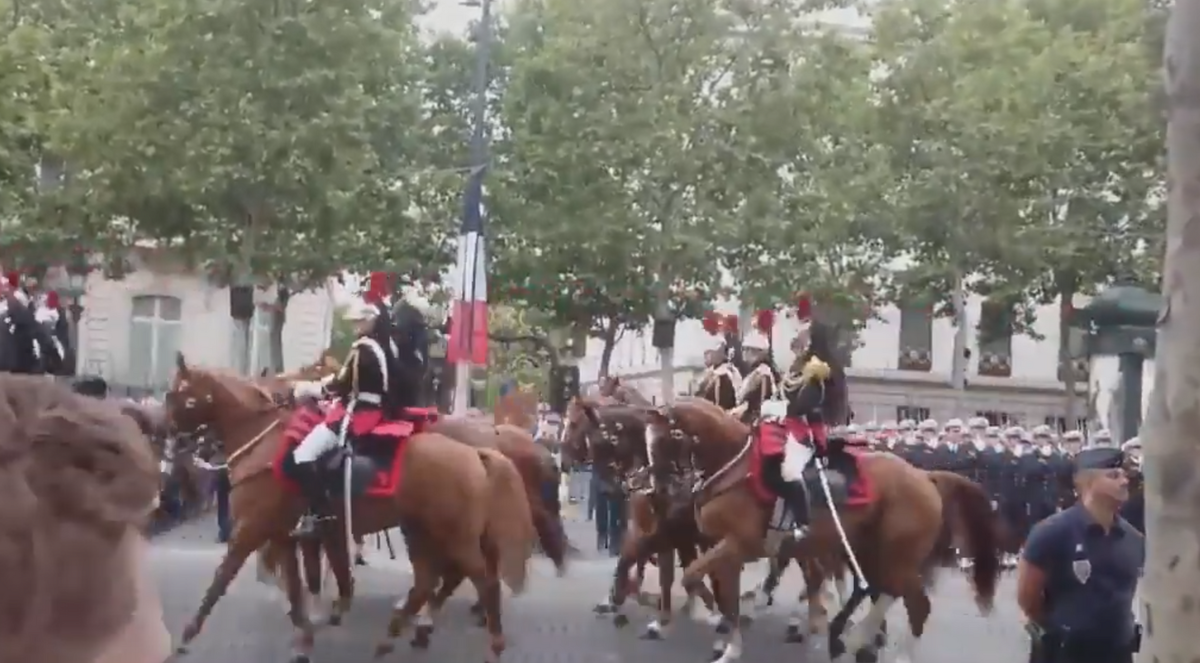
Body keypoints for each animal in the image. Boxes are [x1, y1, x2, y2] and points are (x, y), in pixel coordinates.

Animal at [163, 357, 535, 663]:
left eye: (174, 395)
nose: (167, 440)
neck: (263, 441)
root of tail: (476, 452)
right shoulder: (284, 534)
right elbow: (297, 587)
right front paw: (305, 636)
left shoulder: (251, 528)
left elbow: (221, 579)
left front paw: (185, 637)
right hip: (422, 533)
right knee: (427, 583)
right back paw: (392, 639)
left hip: (454, 537)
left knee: (483, 581)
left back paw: (490, 644)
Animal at [643, 396, 998, 663]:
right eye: (646, 443)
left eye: (664, 440)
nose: (659, 491)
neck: (734, 464)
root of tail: (925, 477)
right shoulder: (727, 550)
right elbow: (725, 595)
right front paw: (730, 646)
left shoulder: (738, 545)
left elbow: (694, 577)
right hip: (870, 551)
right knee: (879, 591)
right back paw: (852, 640)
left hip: (896, 557)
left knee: (915, 604)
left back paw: (873, 646)